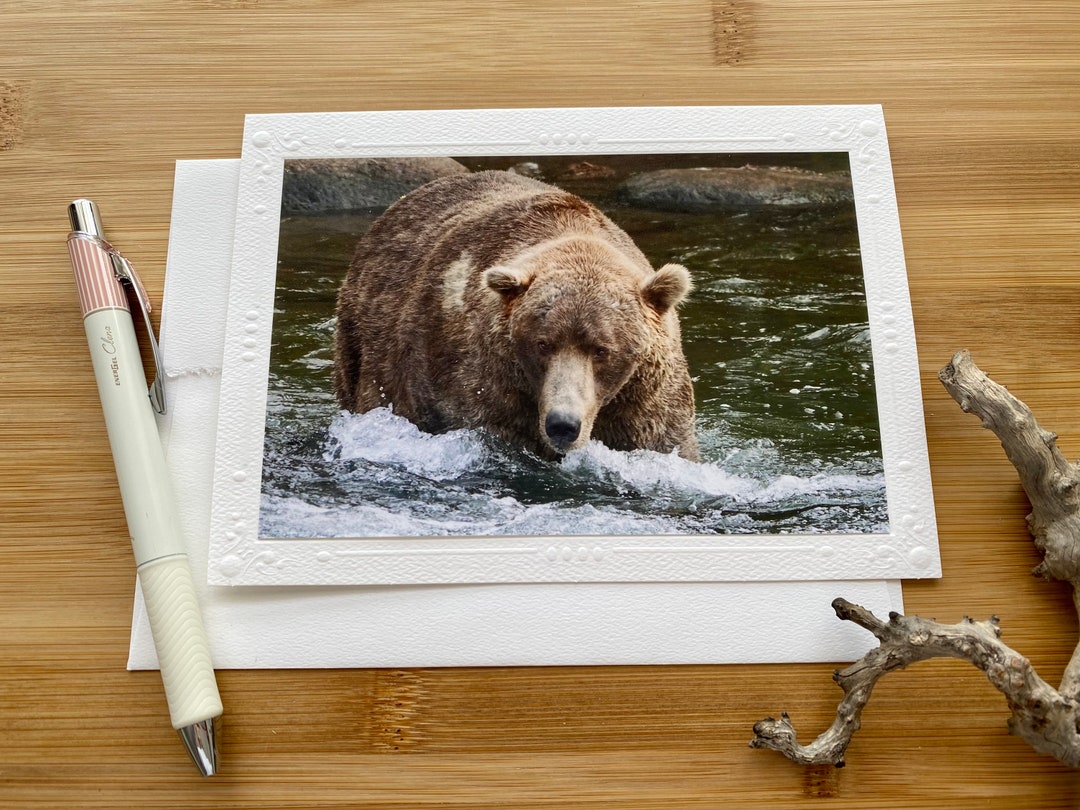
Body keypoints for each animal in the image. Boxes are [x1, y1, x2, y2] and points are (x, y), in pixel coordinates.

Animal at [333, 170, 700, 462]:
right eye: (543, 344)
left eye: (601, 349)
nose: (562, 424)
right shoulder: (481, 384)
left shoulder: (646, 403)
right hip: (362, 342)